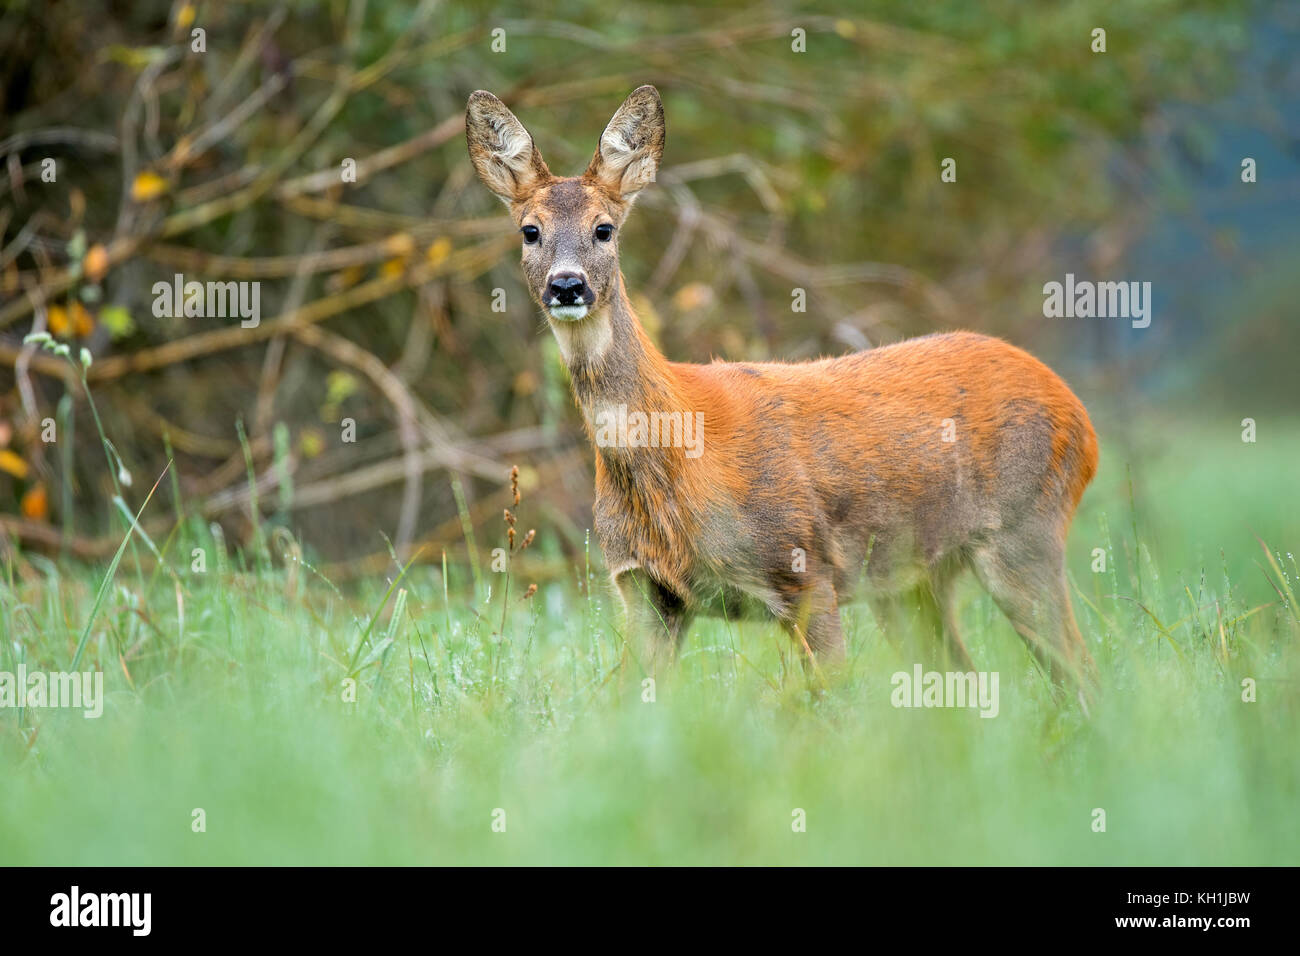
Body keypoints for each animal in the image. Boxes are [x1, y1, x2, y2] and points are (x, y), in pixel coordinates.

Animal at [465, 85, 1100, 698]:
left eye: (604, 228)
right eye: (530, 231)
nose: (567, 285)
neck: (682, 456)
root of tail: (1081, 418)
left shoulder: (805, 570)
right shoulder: (644, 589)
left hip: (1024, 528)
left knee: (1083, 671)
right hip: (912, 579)